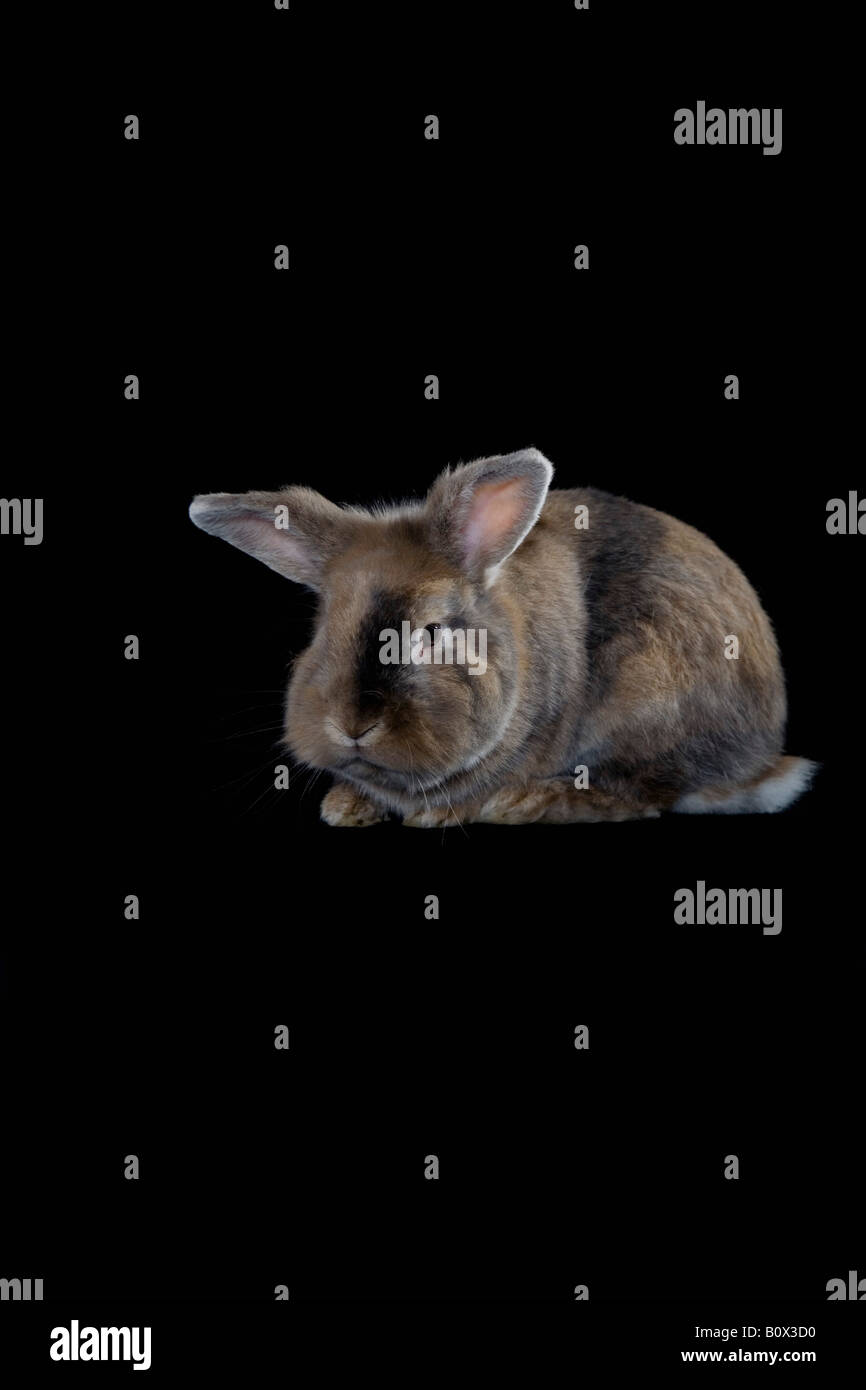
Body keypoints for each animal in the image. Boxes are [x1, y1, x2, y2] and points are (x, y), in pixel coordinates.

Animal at [189, 448, 816, 826]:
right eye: (324, 627)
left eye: (432, 631)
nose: (353, 725)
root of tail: (760, 758)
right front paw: (345, 808)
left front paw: (439, 814)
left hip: (649, 693)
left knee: (644, 794)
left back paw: (530, 800)